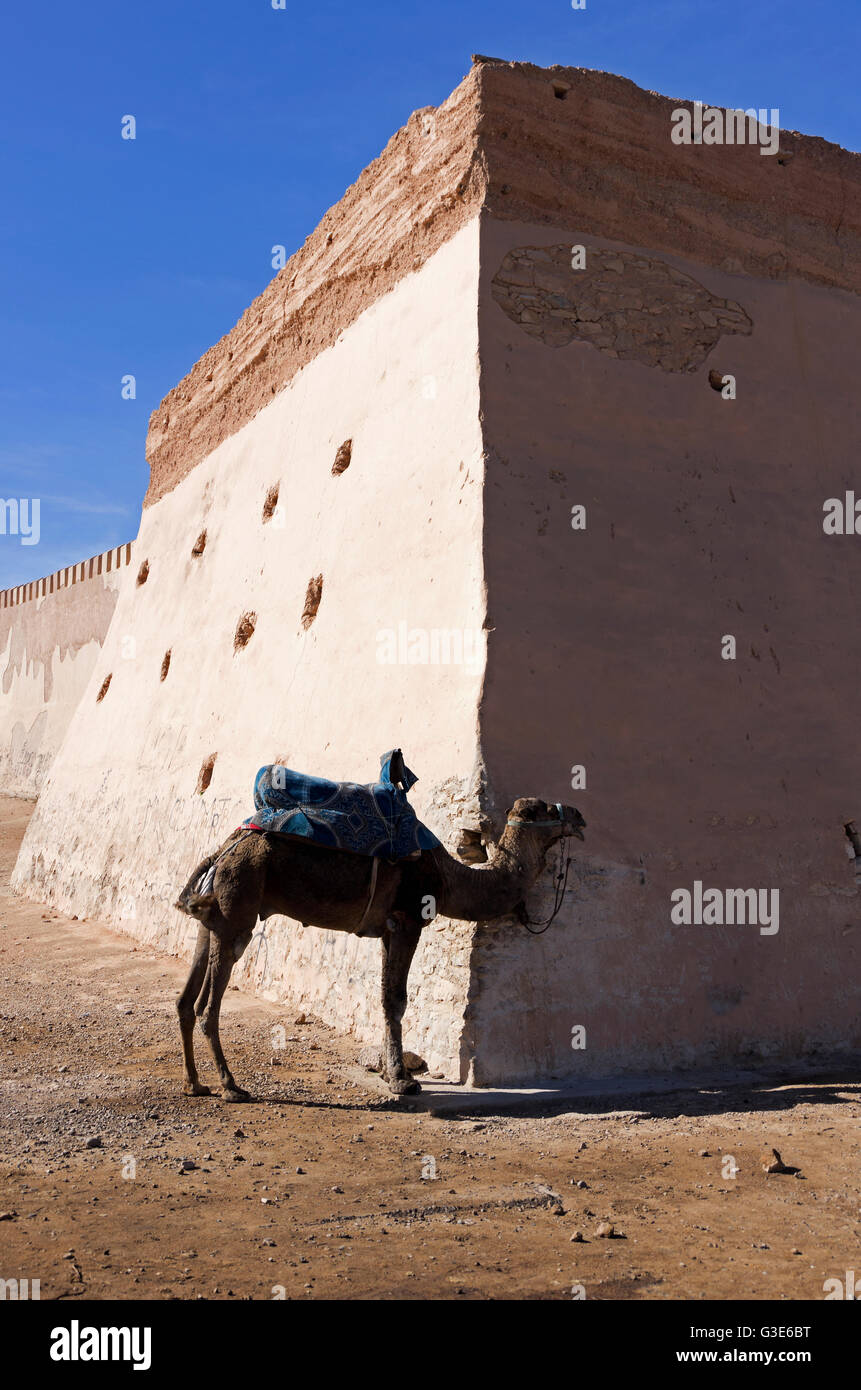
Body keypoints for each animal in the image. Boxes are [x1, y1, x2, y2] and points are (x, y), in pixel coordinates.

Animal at [173, 797, 586, 1101]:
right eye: (546, 809)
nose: (579, 815)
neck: (451, 878)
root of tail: (223, 850)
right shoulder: (408, 920)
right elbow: (397, 999)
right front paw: (404, 1081)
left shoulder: (387, 928)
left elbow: (385, 996)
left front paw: (392, 1074)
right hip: (238, 907)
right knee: (206, 1005)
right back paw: (231, 1087)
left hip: (214, 917)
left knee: (185, 998)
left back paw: (195, 1084)